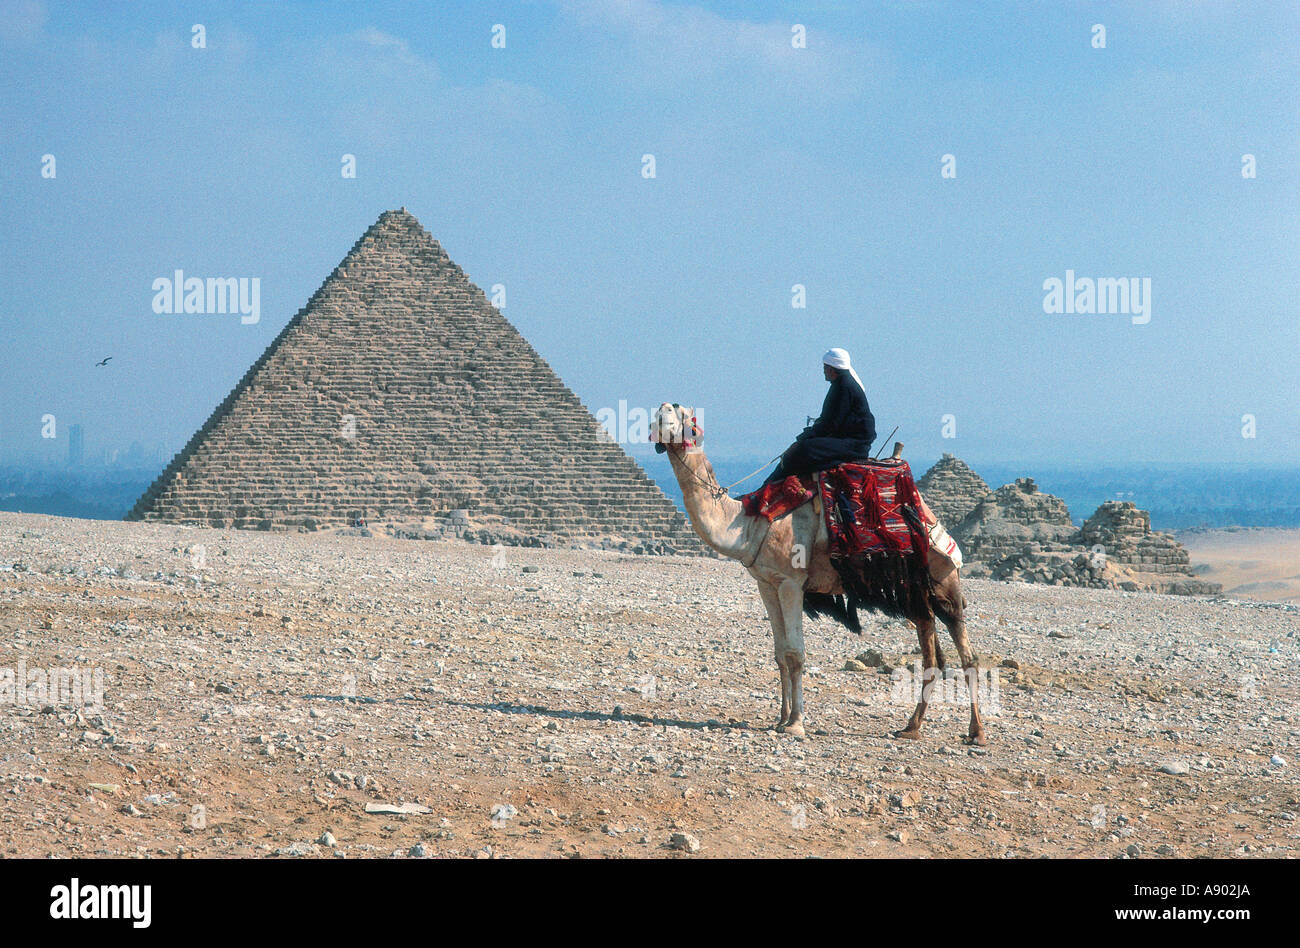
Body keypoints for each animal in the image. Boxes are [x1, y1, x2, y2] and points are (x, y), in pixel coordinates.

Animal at [651, 402, 986, 745]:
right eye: (658, 417)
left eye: (680, 418)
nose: (658, 429)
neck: (749, 523)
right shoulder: (766, 584)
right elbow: (780, 653)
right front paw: (780, 718)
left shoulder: (792, 582)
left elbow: (795, 653)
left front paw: (796, 723)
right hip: (914, 591)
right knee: (931, 654)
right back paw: (911, 727)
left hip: (945, 580)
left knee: (967, 654)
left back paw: (976, 732)